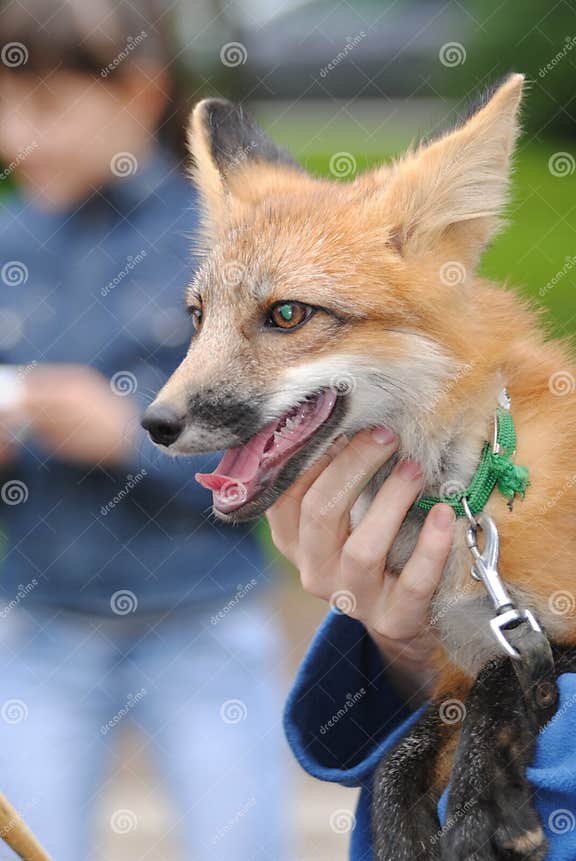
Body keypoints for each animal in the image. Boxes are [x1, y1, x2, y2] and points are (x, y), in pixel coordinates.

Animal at [142, 73, 576, 860]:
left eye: (287, 315)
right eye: (197, 317)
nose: (155, 424)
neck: (468, 497)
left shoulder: (532, 636)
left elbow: (501, 681)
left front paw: (481, 806)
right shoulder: (455, 662)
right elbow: (404, 752)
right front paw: (416, 830)